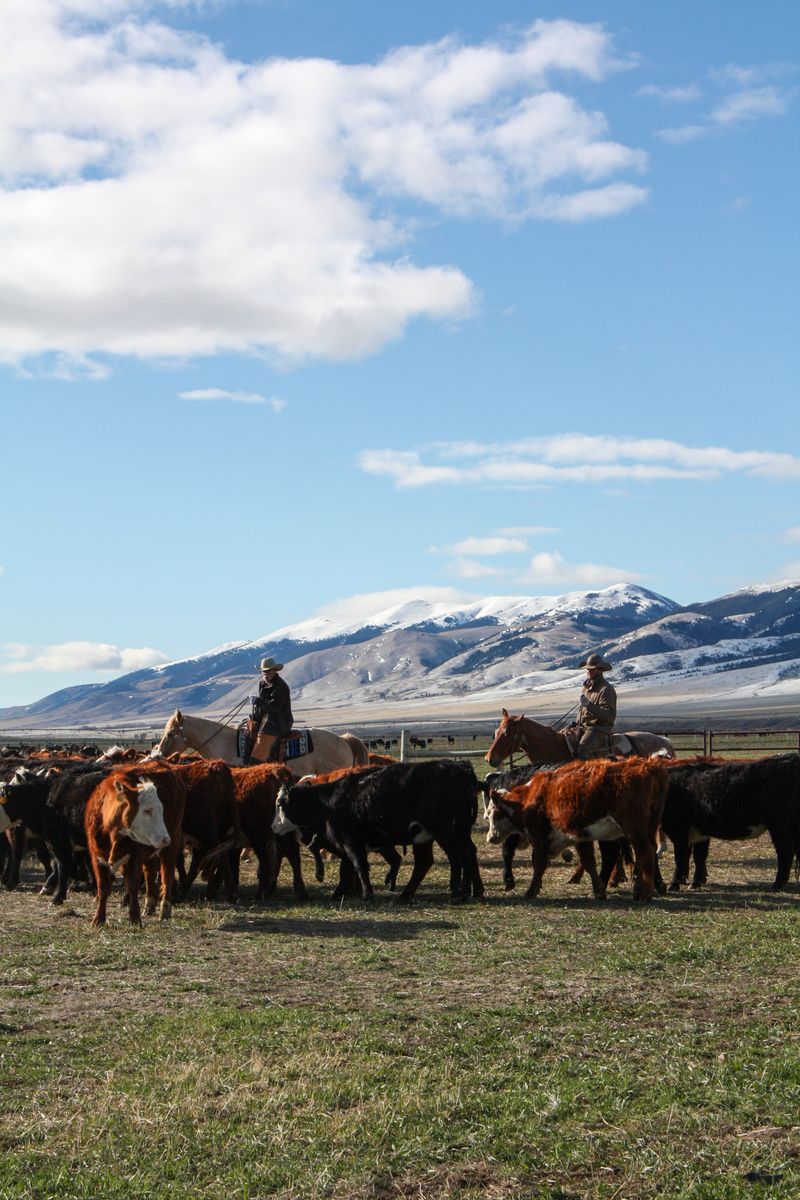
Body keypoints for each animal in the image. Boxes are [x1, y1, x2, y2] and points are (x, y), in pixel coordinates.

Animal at [85, 770, 173, 927]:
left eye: (161, 809)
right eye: (147, 810)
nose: (165, 839)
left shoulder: (135, 857)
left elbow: (132, 885)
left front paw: (135, 918)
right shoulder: (97, 857)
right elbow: (103, 888)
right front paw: (98, 919)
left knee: (166, 873)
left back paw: (164, 910)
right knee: (150, 872)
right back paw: (149, 906)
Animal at [273, 759, 483, 903]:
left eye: (279, 804)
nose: (273, 827)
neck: (329, 801)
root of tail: (460, 768)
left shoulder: (350, 842)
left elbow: (358, 866)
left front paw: (367, 894)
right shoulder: (348, 844)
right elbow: (347, 869)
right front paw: (340, 893)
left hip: (442, 830)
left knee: (455, 854)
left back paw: (456, 893)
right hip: (443, 833)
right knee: (452, 856)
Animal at [485, 758, 668, 902]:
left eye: (492, 813)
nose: (489, 838)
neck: (529, 797)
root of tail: (648, 767)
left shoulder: (539, 836)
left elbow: (539, 863)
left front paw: (531, 891)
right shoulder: (580, 836)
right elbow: (588, 862)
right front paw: (599, 891)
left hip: (634, 829)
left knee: (645, 853)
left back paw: (645, 894)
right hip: (649, 828)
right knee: (647, 853)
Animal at [661, 754, 800, 892]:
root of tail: (790, 758)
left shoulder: (678, 829)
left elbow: (680, 858)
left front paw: (674, 884)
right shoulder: (700, 831)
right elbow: (699, 856)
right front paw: (696, 882)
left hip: (779, 825)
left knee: (785, 850)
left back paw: (777, 884)